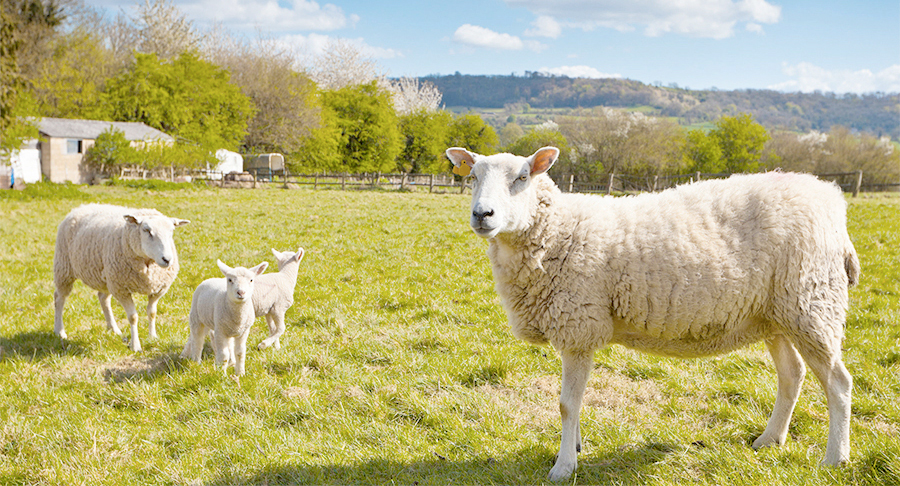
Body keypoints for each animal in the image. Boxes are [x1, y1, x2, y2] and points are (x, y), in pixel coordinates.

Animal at [53, 203, 190, 352]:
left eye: (171, 231)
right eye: (146, 230)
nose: (167, 259)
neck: (148, 262)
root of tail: (82, 206)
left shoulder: (158, 289)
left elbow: (152, 312)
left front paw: (152, 337)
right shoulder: (122, 289)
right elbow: (133, 317)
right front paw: (135, 345)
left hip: (107, 277)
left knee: (103, 298)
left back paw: (113, 329)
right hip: (64, 268)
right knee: (59, 298)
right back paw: (59, 331)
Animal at [445, 146, 860, 481]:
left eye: (522, 177)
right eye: (472, 176)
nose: (482, 214)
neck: (559, 232)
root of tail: (831, 199)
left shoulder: (579, 326)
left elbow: (567, 404)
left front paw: (563, 467)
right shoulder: (577, 331)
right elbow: (573, 403)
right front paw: (574, 448)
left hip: (812, 304)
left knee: (838, 383)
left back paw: (835, 459)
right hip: (776, 315)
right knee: (792, 375)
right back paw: (769, 439)